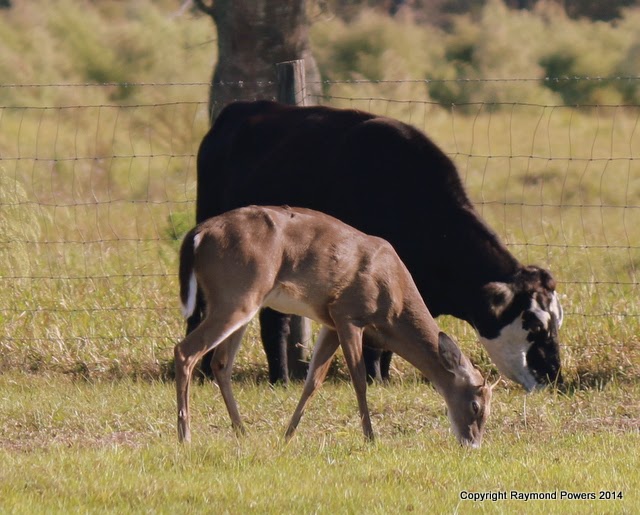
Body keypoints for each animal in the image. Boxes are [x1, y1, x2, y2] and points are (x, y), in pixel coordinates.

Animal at [187, 100, 563, 391]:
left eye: (556, 321)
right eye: (533, 325)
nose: (554, 376)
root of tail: (240, 110)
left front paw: (383, 377)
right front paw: (373, 378)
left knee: (273, 319)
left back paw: (279, 377)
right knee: (204, 311)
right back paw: (204, 372)